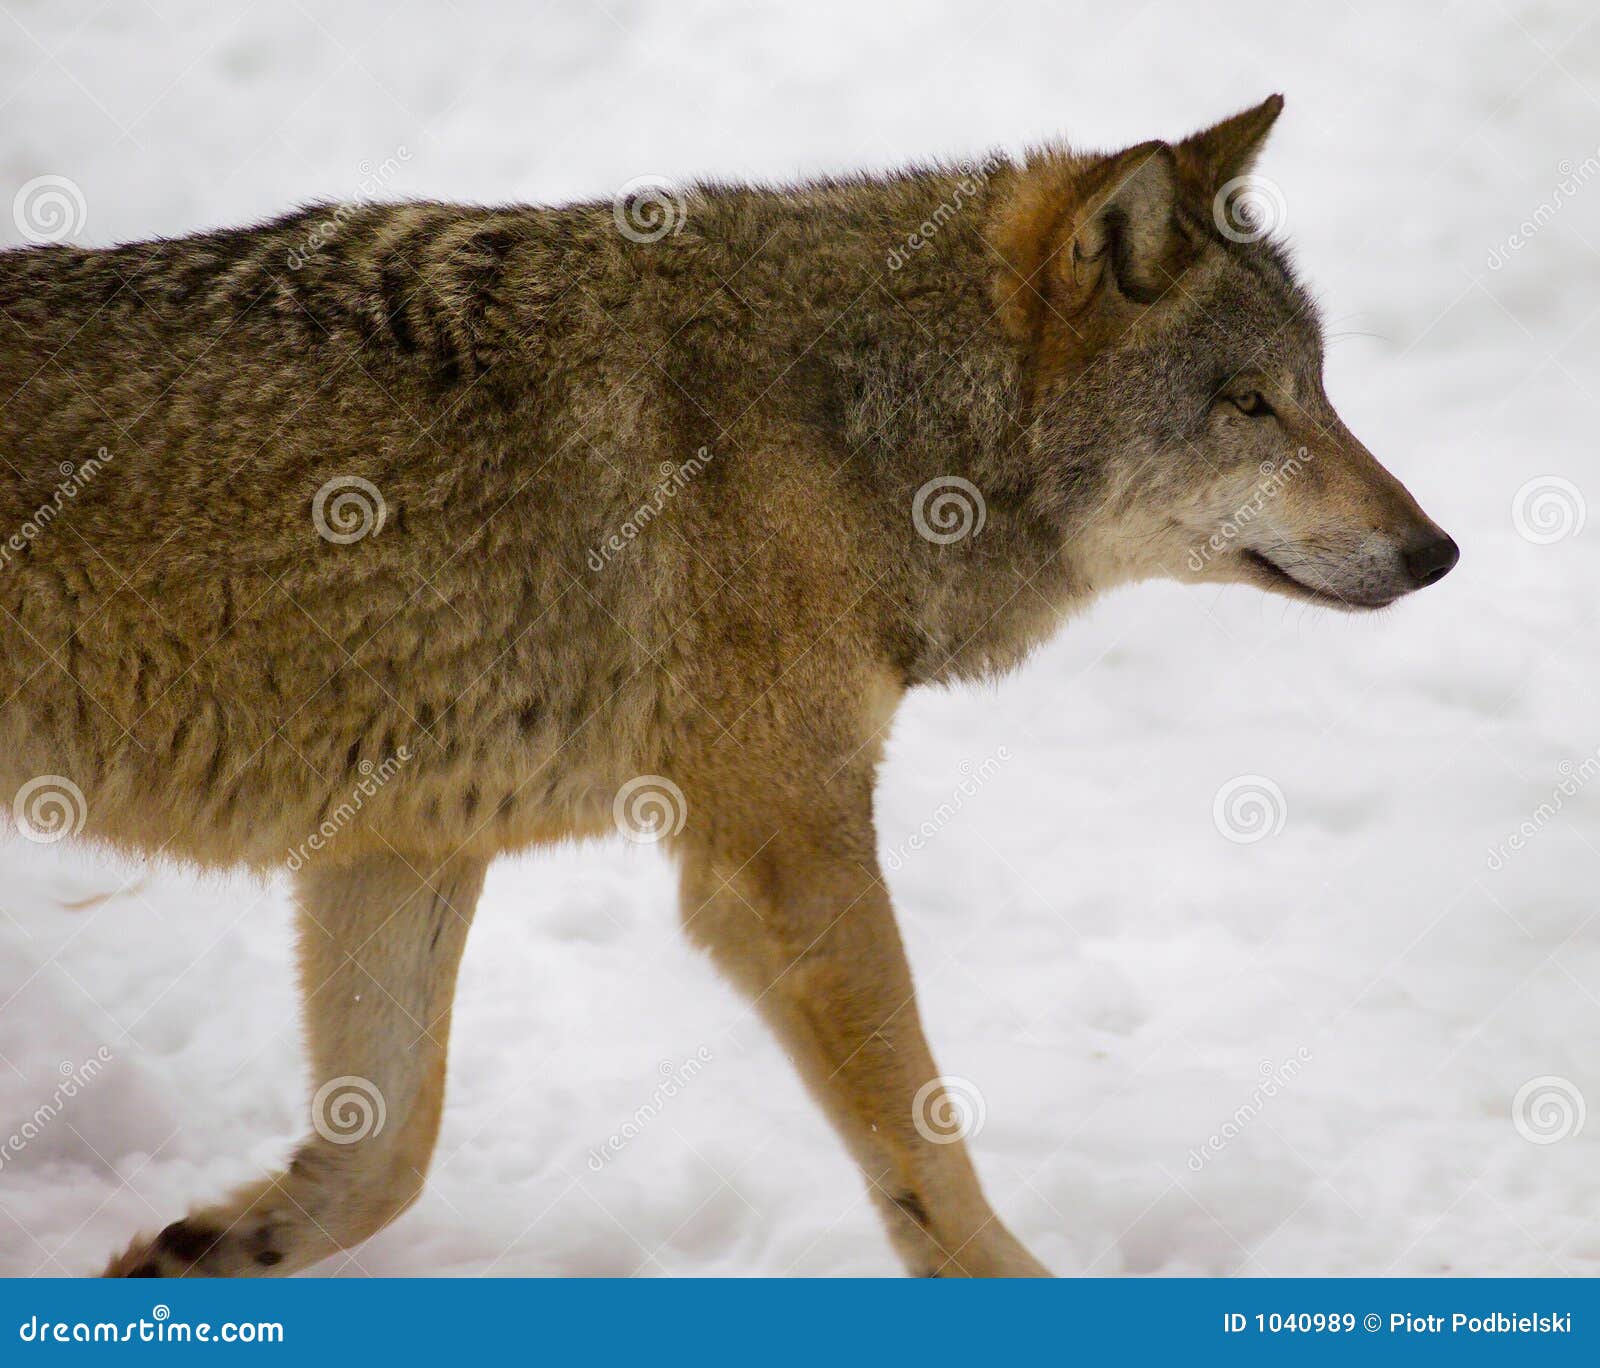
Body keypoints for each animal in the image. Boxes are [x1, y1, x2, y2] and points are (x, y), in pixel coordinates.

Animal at [0, 94, 1454, 1276]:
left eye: (1320, 389)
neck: (864, 428)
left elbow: (380, 1155)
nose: (1437, 552)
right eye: (1250, 404)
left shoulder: (400, 842)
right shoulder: (786, 858)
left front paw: (203, 1253)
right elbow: (928, 1153)